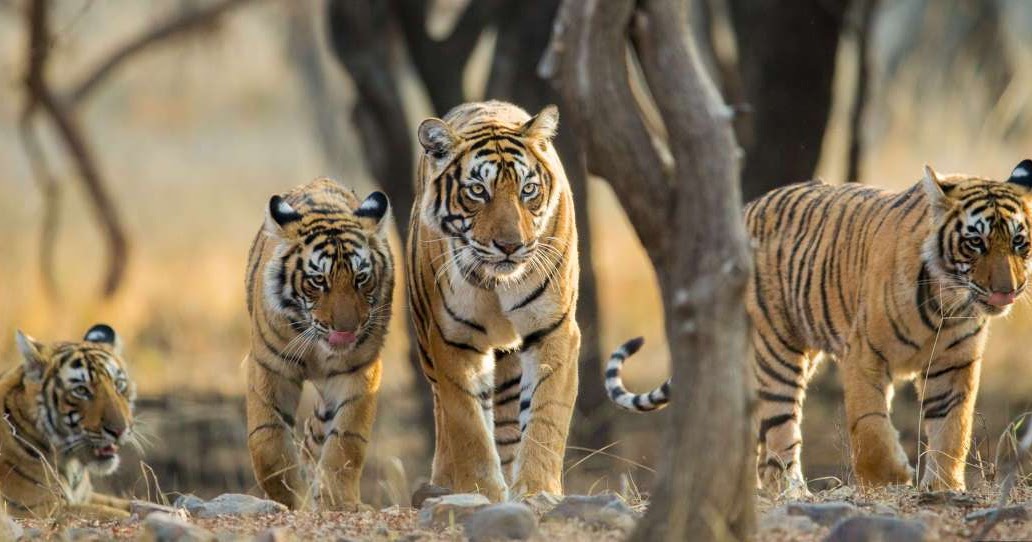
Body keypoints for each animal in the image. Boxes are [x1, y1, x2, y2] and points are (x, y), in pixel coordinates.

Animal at [1, 324, 137, 519]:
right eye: (81, 390)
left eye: (118, 385)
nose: (120, 430)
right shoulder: (41, 508)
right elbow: (110, 513)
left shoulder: (86, 496)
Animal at [245, 177, 393, 510]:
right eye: (318, 281)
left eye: (361, 278)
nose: (346, 330)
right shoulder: (269, 367)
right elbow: (267, 441)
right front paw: (289, 498)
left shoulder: (359, 371)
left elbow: (346, 441)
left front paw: (336, 502)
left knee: (317, 433)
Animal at [407, 101, 580, 501]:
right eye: (477, 191)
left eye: (528, 190)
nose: (510, 246)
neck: (497, 283)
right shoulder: (454, 339)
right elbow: (467, 424)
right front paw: (480, 491)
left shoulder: (554, 329)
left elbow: (546, 416)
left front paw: (537, 490)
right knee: (444, 415)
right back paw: (442, 482)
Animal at [603, 160, 1032, 496]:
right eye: (975, 242)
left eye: (1019, 243)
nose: (1007, 290)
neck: (947, 302)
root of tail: (744, 209)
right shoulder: (864, 354)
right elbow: (869, 425)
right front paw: (891, 478)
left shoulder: (955, 364)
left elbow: (952, 429)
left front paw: (943, 486)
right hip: (776, 351)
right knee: (780, 429)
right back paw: (792, 492)